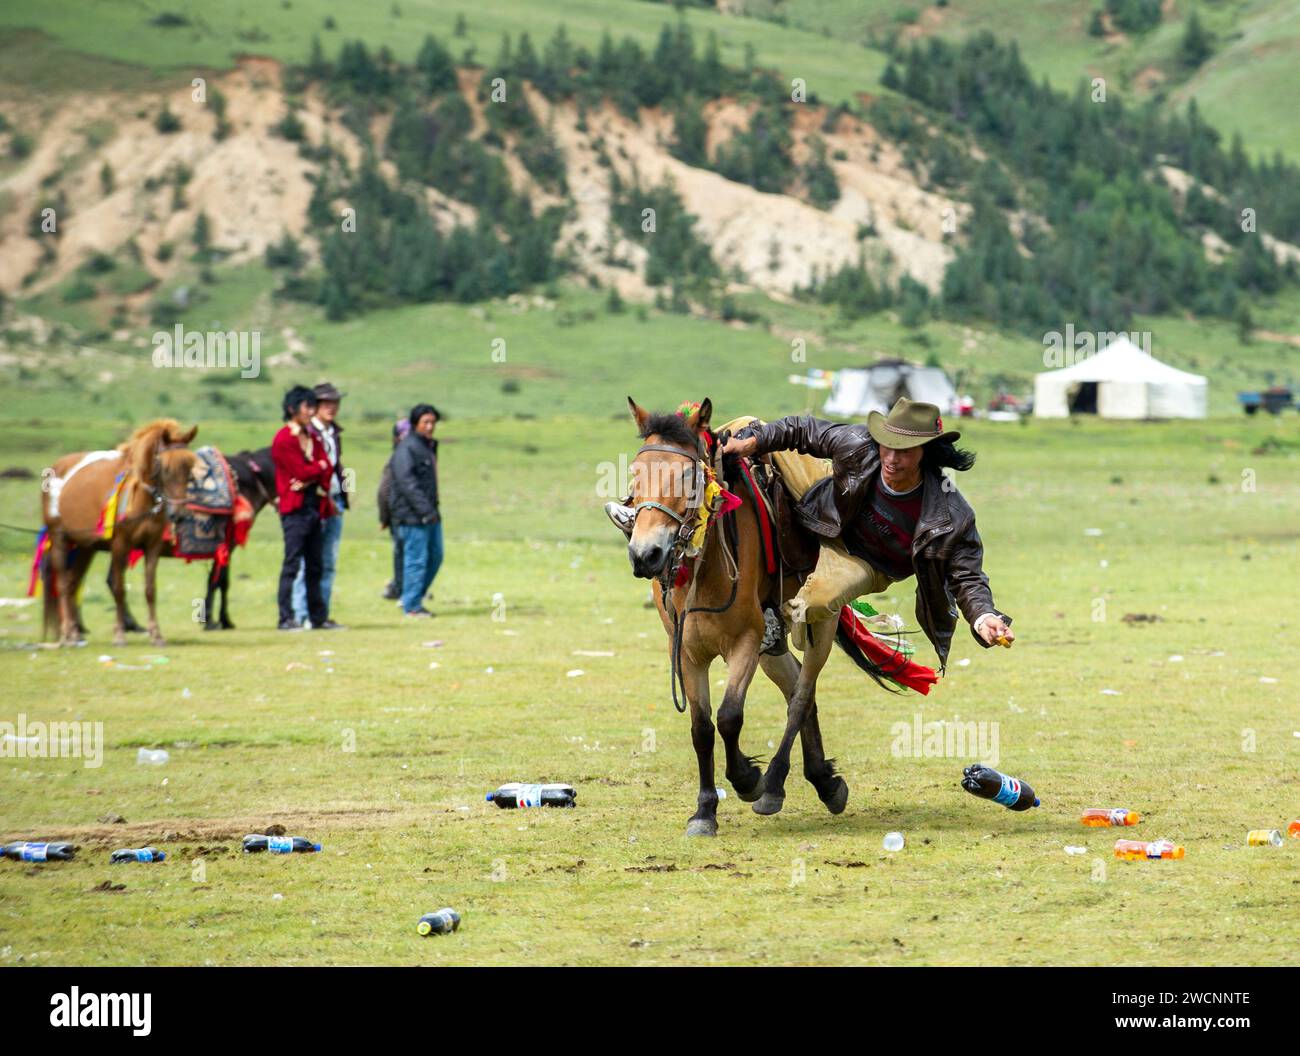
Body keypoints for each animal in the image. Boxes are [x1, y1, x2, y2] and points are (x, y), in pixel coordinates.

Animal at [41, 419, 198, 646]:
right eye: (165, 468)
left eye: (190, 469)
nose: (179, 514)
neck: (141, 498)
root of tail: (58, 467)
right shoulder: (120, 545)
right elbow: (118, 588)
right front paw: (119, 634)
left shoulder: (153, 546)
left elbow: (150, 590)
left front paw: (156, 634)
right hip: (60, 539)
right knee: (62, 584)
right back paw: (67, 634)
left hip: (86, 548)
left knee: (72, 583)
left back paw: (75, 633)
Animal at [625, 397, 865, 836]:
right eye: (635, 474)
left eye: (688, 475)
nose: (645, 554)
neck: (704, 568)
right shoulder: (685, 651)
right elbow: (702, 728)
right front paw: (704, 810)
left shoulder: (746, 642)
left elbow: (729, 716)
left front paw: (747, 779)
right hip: (772, 642)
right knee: (797, 687)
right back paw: (822, 778)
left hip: (817, 620)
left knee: (802, 693)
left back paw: (778, 785)